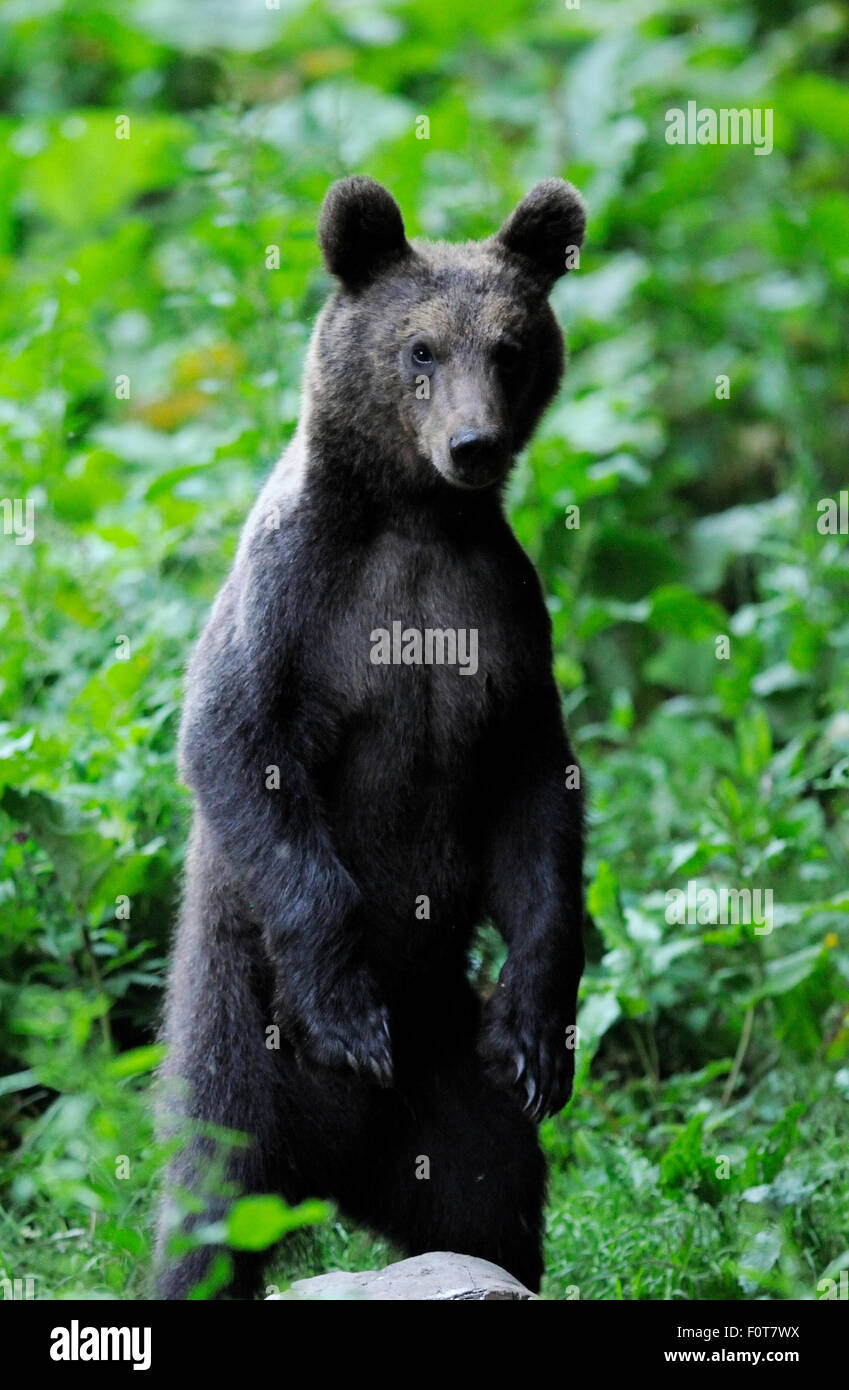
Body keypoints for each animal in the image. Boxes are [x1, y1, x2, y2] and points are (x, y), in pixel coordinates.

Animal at [154, 175, 587, 1300]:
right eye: (419, 348)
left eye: (509, 346)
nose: (472, 446)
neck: (416, 521)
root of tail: (333, 1176)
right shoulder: (296, 602)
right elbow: (238, 744)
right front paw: (347, 1011)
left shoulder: (503, 624)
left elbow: (538, 803)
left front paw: (537, 1035)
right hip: (236, 1056)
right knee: (208, 1219)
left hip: (448, 1084)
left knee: (492, 1197)